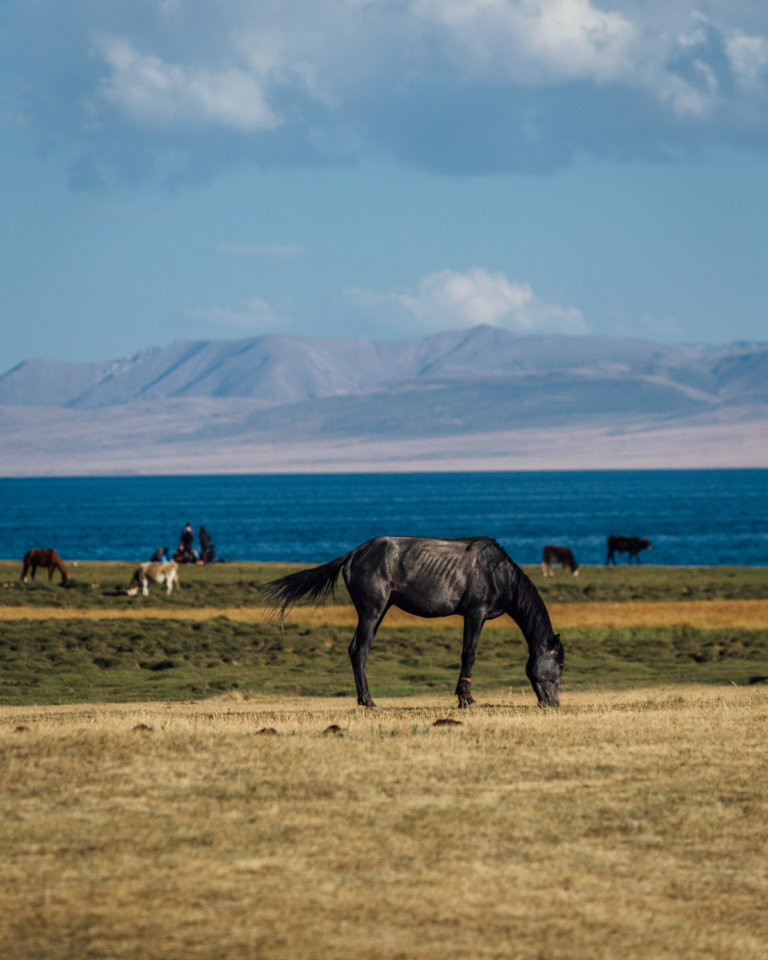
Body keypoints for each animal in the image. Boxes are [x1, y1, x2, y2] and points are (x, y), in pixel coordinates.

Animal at [261, 536, 564, 709]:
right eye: (560, 666)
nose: (553, 704)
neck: (497, 572)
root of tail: (352, 554)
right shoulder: (474, 613)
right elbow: (469, 653)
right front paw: (465, 699)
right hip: (372, 610)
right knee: (359, 650)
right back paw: (368, 701)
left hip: (380, 611)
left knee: (359, 649)